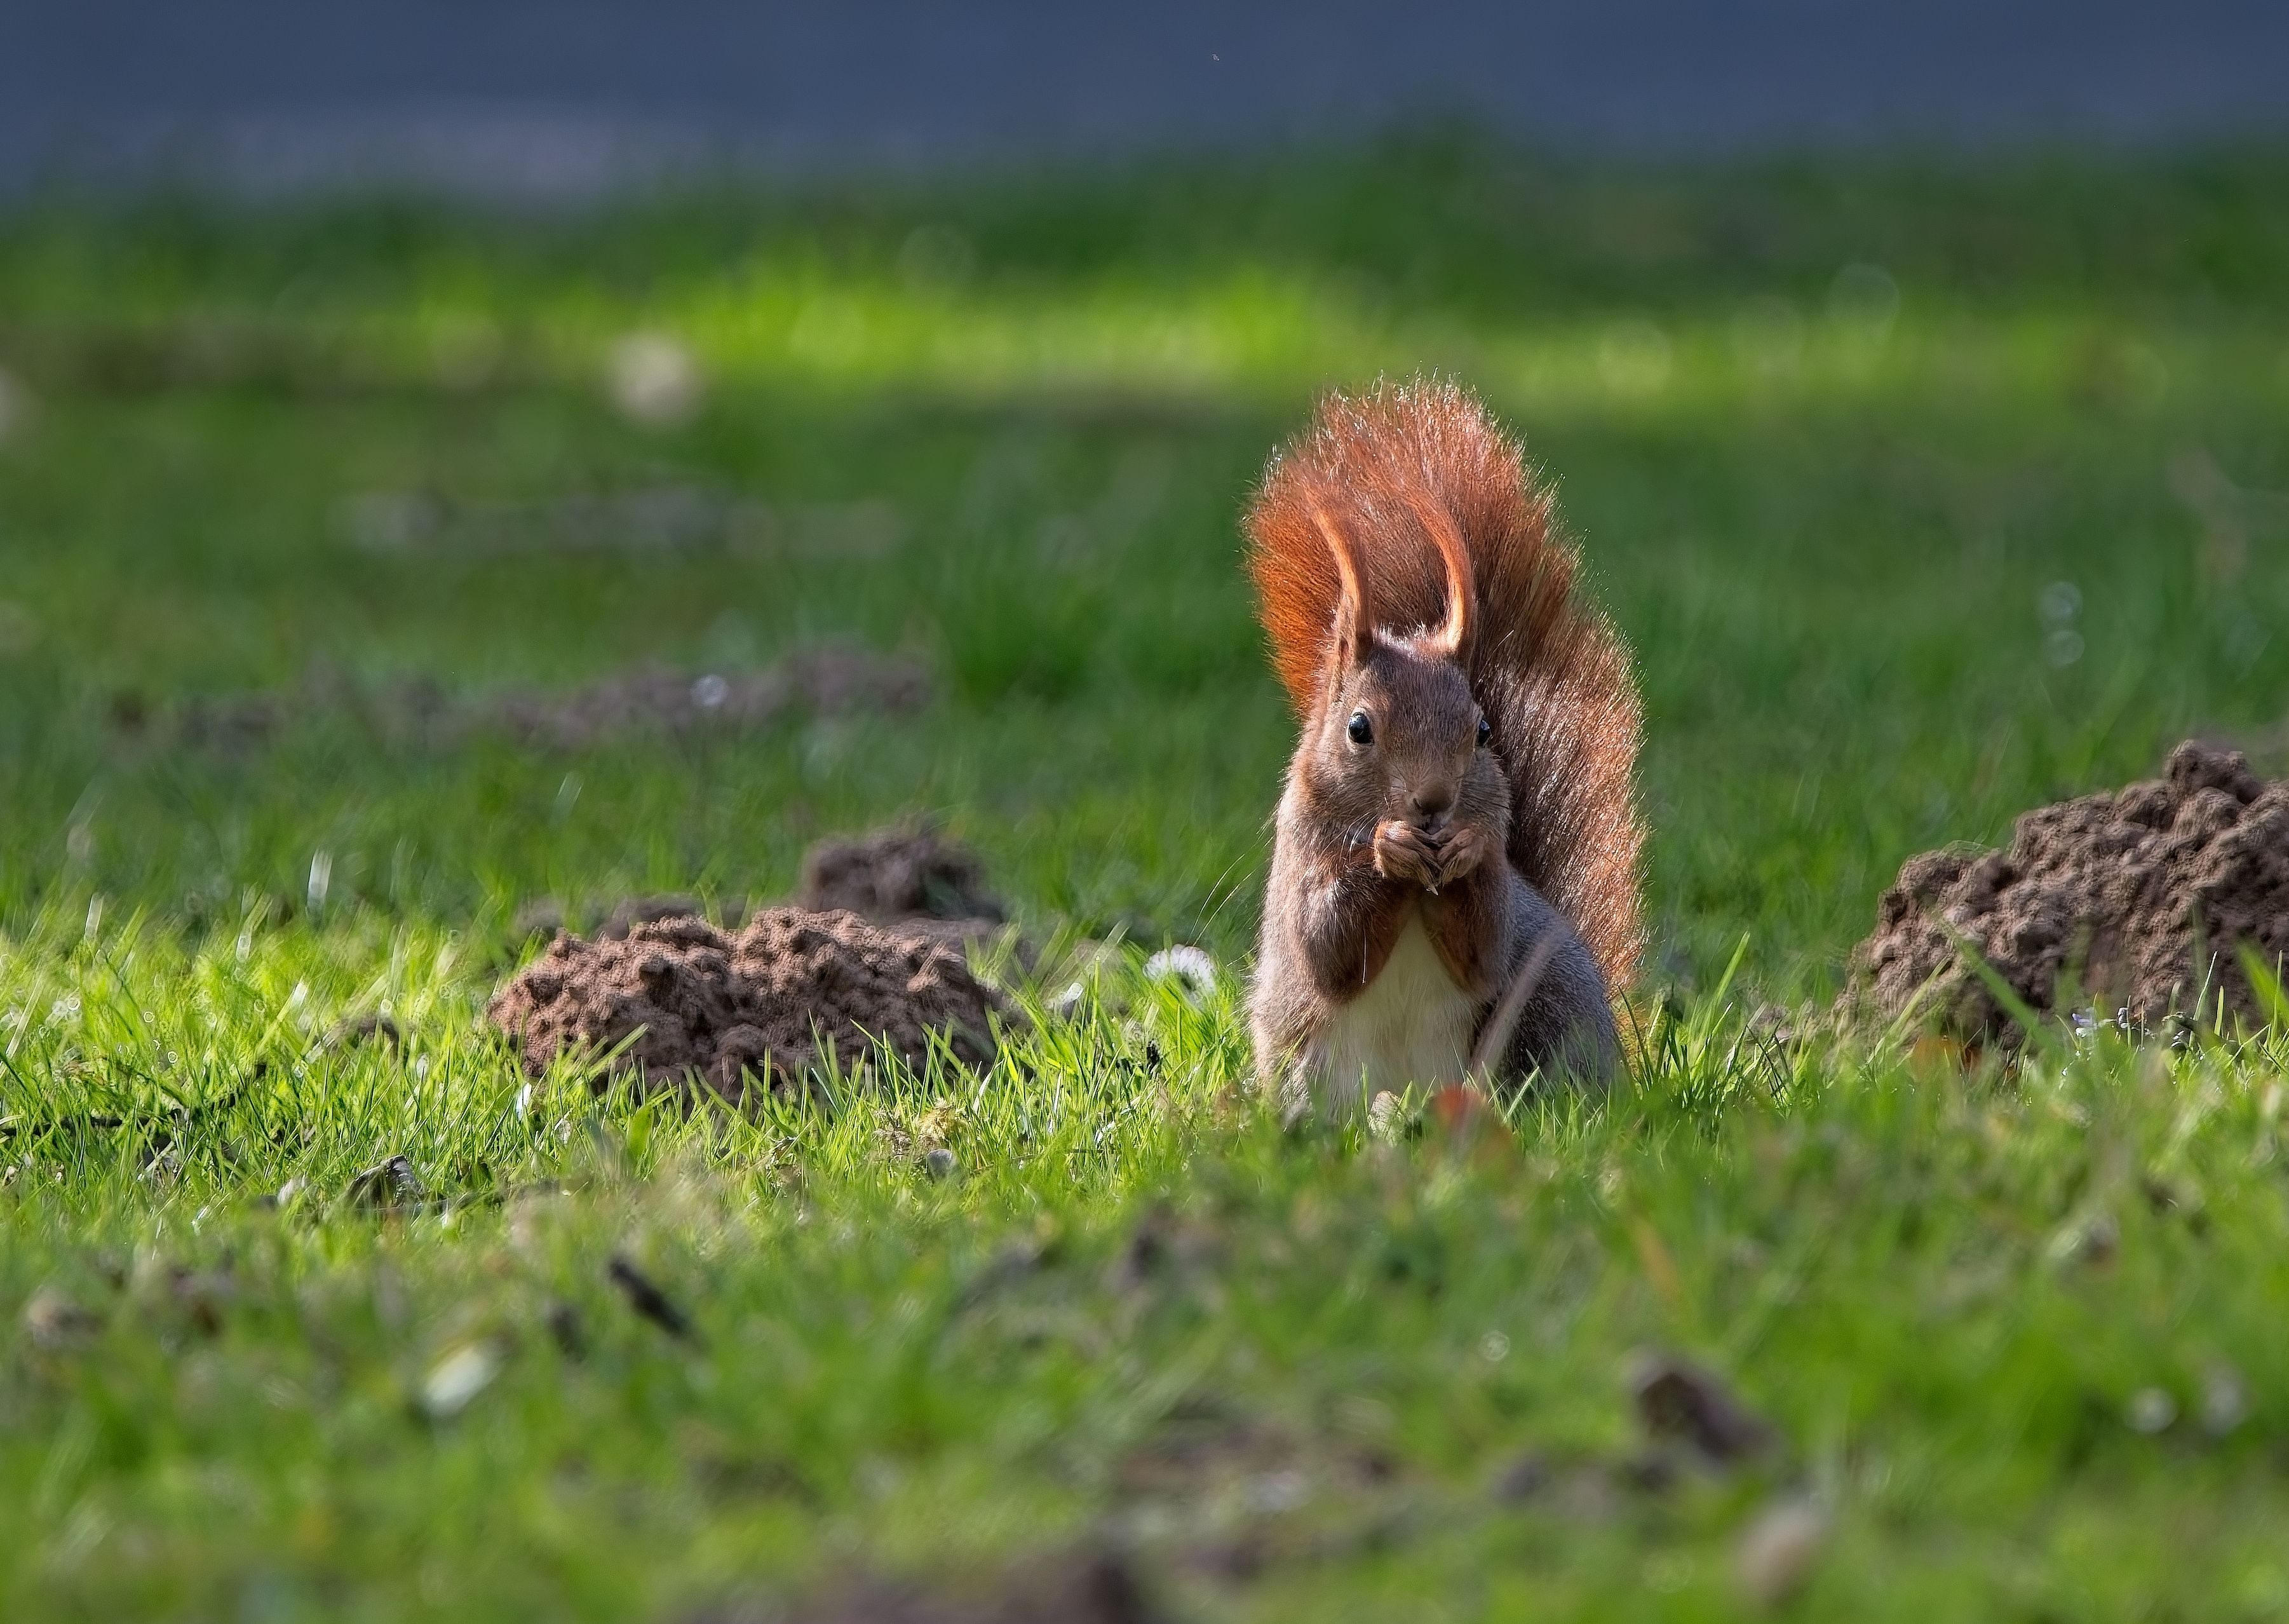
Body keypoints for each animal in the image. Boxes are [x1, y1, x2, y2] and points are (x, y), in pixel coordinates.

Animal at [1245, 380, 1644, 1114]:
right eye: (1358, 728)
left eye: (1482, 732)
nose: (1433, 803)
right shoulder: (1301, 851)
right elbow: (1329, 950)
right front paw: (1389, 851)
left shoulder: (1493, 915)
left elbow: (1481, 948)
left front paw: (1466, 851)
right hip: (1305, 1064)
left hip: (1544, 1009)